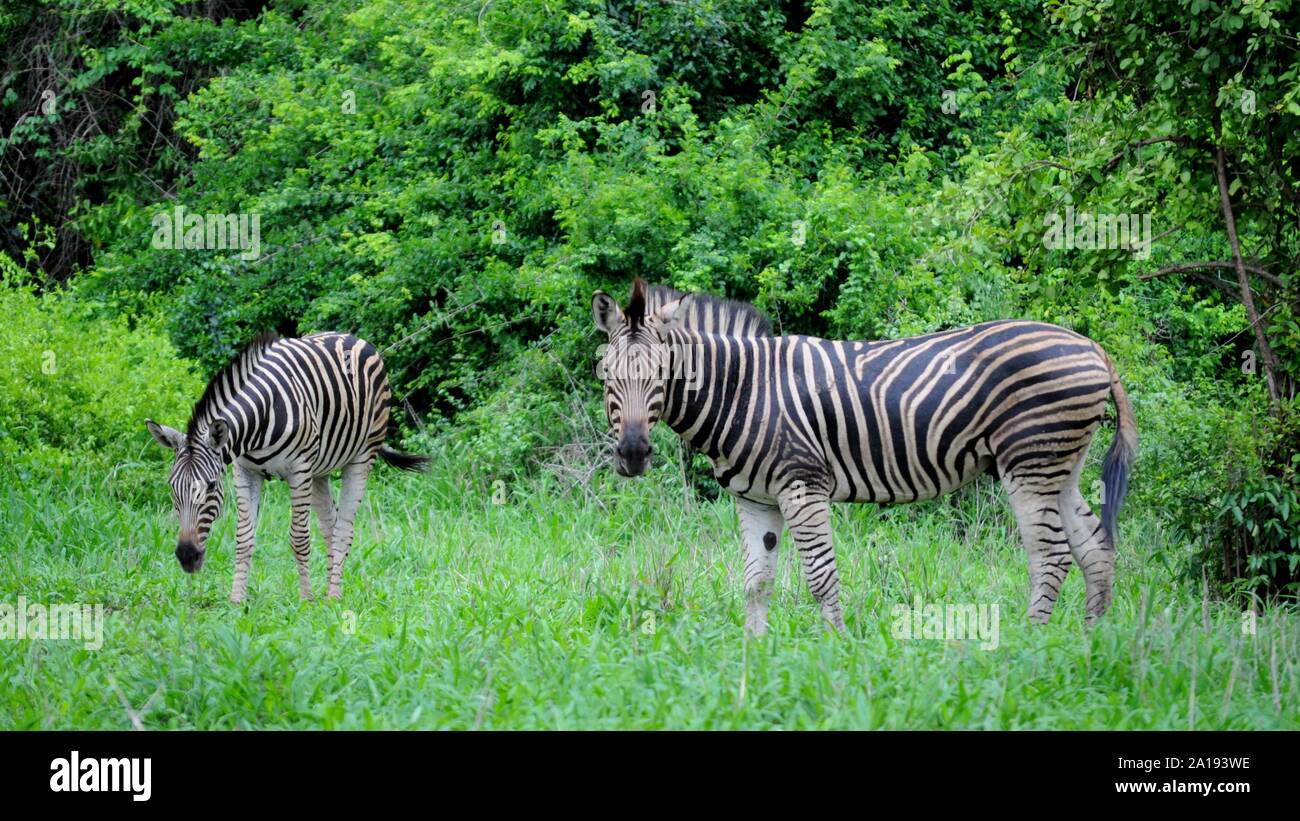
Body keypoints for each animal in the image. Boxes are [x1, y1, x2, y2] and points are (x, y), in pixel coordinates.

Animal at [145, 331, 428, 603]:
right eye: (172, 487)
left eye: (212, 486)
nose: (186, 556)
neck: (257, 426)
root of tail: (353, 337)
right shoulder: (244, 471)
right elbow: (244, 537)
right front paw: (236, 600)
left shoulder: (299, 470)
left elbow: (299, 538)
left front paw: (306, 600)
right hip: (320, 470)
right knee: (331, 526)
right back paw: (329, 593)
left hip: (362, 455)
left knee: (344, 530)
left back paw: (334, 597)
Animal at [592, 278, 1137, 634]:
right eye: (608, 375)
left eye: (663, 374)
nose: (634, 454)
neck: (744, 391)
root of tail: (1091, 346)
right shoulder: (756, 499)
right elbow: (755, 583)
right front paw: (754, 659)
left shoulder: (802, 484)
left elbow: (820, 577)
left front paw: (834, 652)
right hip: (1061, 467)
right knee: (1094, 548)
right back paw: (1089, 641)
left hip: (1029, 463)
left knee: (1051, 556)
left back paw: (1029, 645)